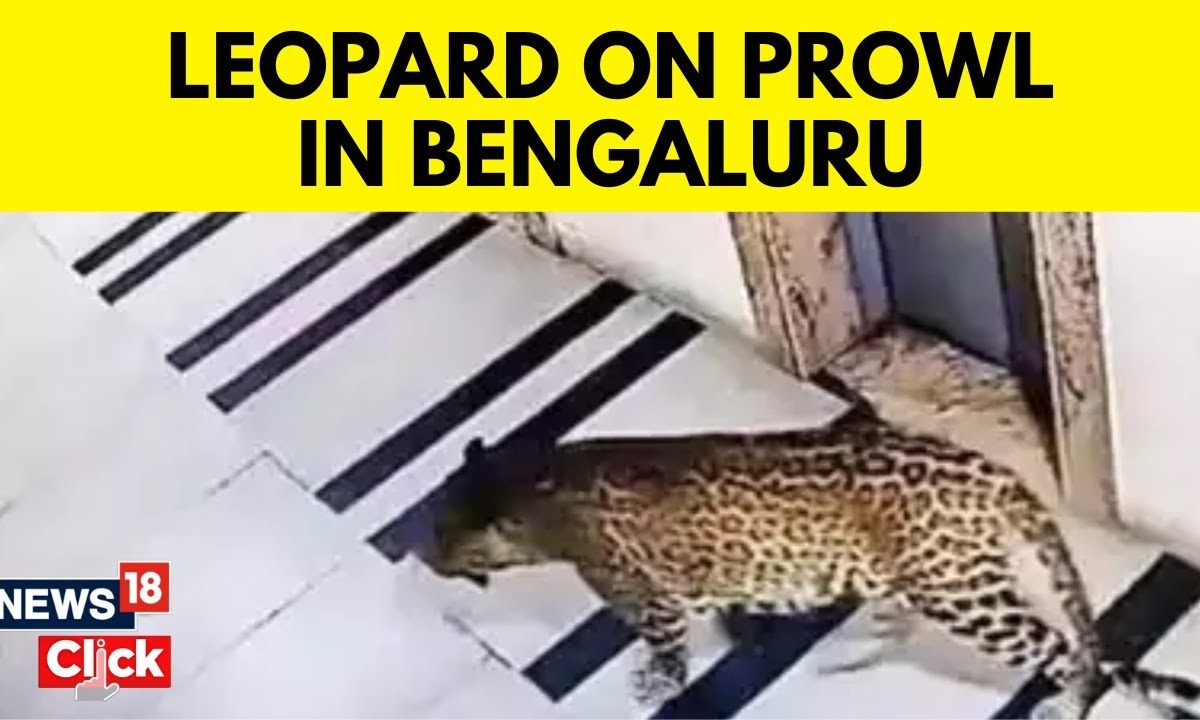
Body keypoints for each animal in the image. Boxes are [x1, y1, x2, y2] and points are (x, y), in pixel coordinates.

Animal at [418, 408, 1200, 719]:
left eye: (445, 531)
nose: (422, 552)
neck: (534, 488)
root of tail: (992, 475)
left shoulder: (650, 602)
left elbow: (666, 648)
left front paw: (658, 682)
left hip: (964, 596)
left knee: (1067, 650)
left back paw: (1064, 704)